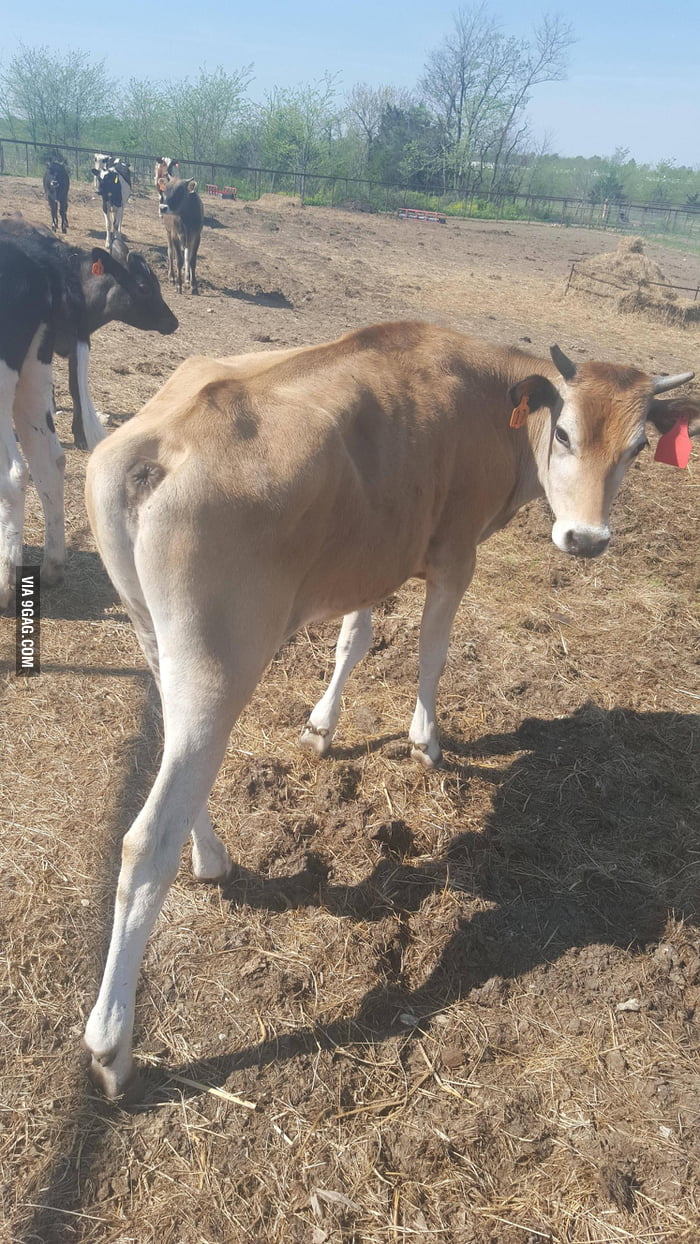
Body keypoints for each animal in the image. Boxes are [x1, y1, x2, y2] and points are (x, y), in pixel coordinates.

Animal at [0, 219, 177, 608]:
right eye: (144, 285)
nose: (173, 322)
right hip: (31, 375)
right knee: (49, 461)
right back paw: (52, 568)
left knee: (14, 472)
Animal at [82, 320, 699, 1097]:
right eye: (563, 432)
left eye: (638, 447)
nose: (586, 539)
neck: (493, 399)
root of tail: (151, 444)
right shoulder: (454, 551)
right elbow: (432, 652)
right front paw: (424, 741)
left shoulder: (376, 556)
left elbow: (355, 638)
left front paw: (322, 727)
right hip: (218, 659)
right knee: (144, 841)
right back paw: (112, 1045)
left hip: (153, 636)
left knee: (173, 755)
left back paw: (214, 855)